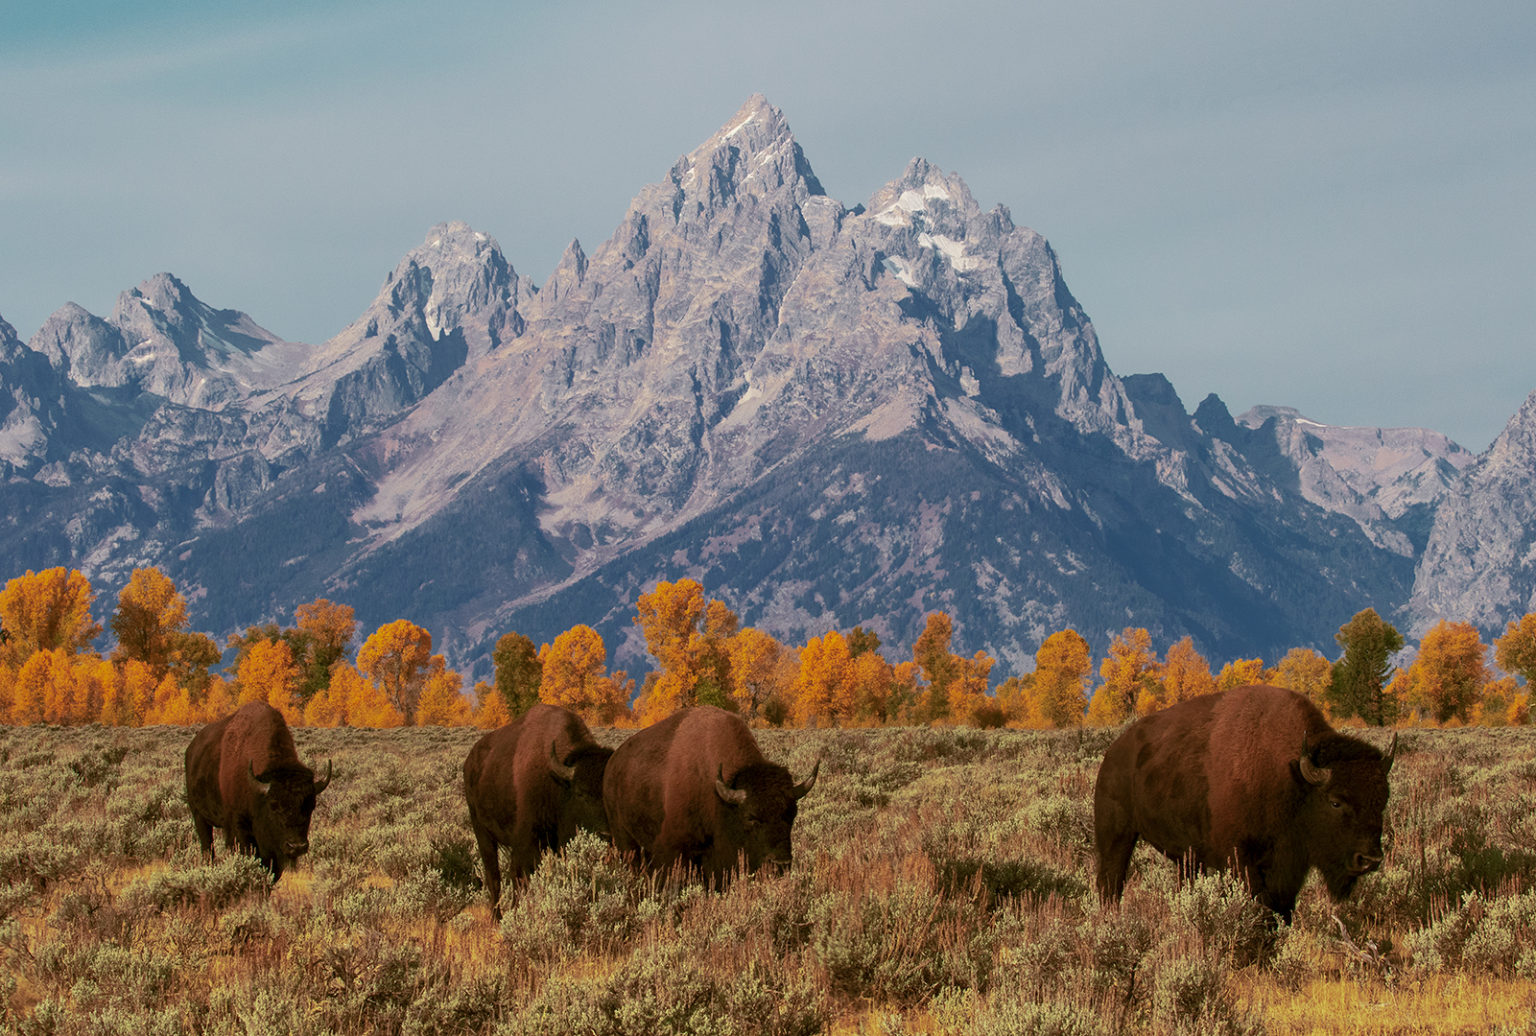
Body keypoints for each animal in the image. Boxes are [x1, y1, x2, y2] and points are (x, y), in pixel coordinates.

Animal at [185, 702, 332, 883]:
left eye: (311, 806)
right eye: (273, 806)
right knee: (207, 847)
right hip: (199, 816)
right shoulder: (238, 828)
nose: (297, 847)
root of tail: (191, 750)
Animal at [463, 703, 614, 919]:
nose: (606, 835)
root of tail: (469, 762)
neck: (556, 783)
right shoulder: (526, 843)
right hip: (482, 832)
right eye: (580, 793)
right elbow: (520, 877)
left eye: (607, 795)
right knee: (493, 876)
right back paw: (496, 917)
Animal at [603, 705, 818, 884]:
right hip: (624, 838)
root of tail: (613, 763)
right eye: (751, 817)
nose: (781, 864)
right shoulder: (672, 850)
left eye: (792, 815)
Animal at [1093, 684, 1394, 920]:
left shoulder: (1288, 869)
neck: (1291, 777)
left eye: (1382, 800)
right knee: (1111, 880)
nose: (1369, 859)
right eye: (1335, 802)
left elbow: (1282, 909)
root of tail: (1114, 752)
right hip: (1117, 835)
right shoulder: (1241, 861)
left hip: (1186, 855)